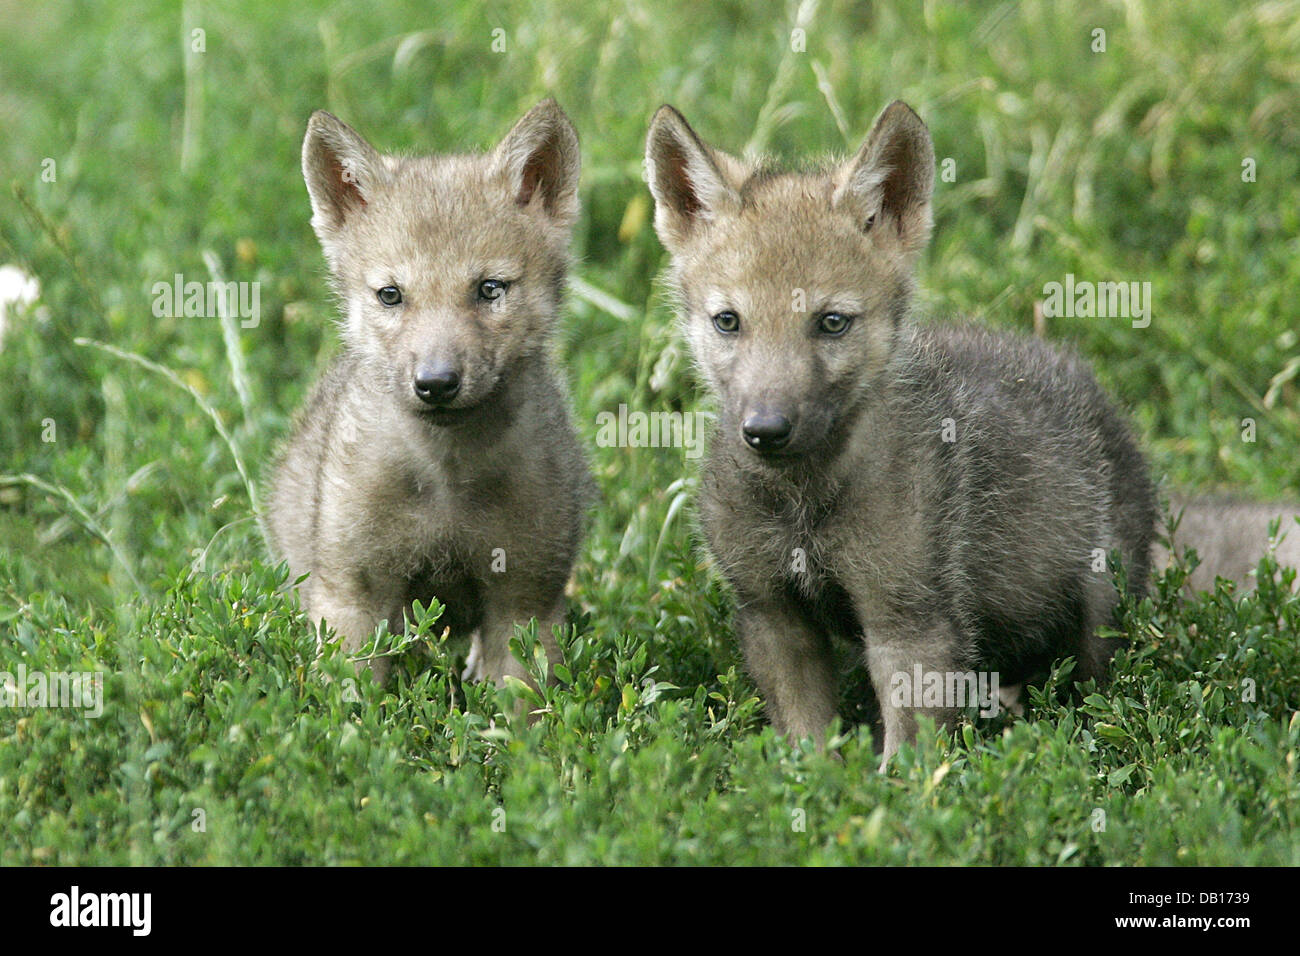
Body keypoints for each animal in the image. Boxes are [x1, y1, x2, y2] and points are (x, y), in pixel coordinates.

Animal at [267, 98, 593, 687]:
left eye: (490, 289)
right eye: (391, 295)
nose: (436, 383)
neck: (448, 476)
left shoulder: (525, 602)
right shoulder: (353, 598)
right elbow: (350, 705)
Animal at [645, 100, 1159, 761]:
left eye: (832, 322)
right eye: (729, 321)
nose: (765, 430)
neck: (804, 505)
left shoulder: (910, 621)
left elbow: (909, 758)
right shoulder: (771, 613)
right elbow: (807, 744)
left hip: (1104, 609)